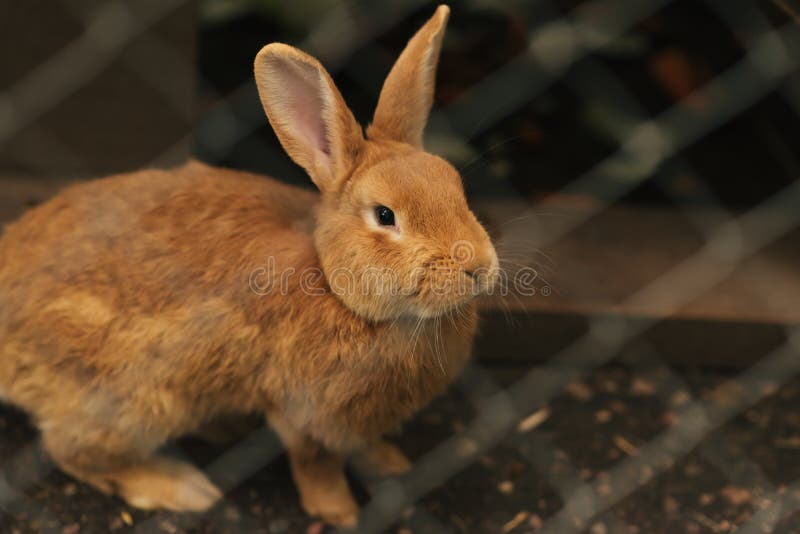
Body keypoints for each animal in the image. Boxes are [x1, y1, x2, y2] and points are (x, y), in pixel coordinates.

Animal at [0, 4, 498, 527]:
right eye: (385, 216)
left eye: (457, 188)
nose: (477, 266)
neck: (335, 288)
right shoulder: (299, 411)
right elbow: (315, 463)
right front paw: (340, 513)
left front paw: (393, 464)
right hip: (130, 399)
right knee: (72, 452)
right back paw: (182, 486)